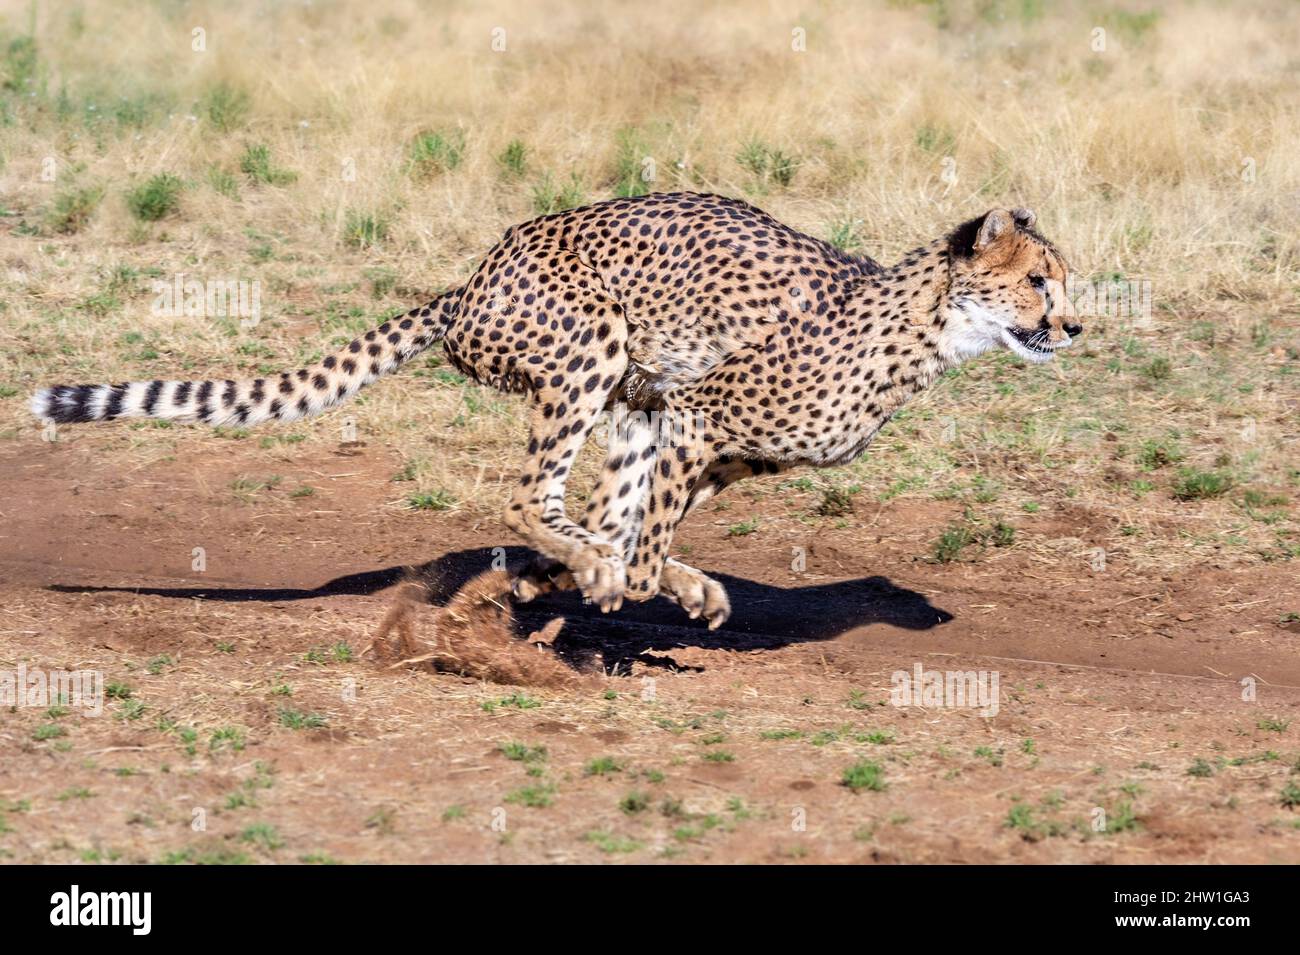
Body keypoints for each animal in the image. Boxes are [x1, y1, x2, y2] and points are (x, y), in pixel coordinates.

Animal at [31, 192, 1079, 630]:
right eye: (1038, 280)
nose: (1071, 324)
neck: (926, 328)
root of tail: (469, 278)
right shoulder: (700, 412)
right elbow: (643, 536)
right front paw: (641, 583)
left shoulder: (703, 434)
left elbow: (641, 518)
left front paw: (613, 580)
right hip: (592, 348)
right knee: (525, 494)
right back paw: (584, 569)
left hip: (629, 392)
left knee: (584, 500)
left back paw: (573, 573)